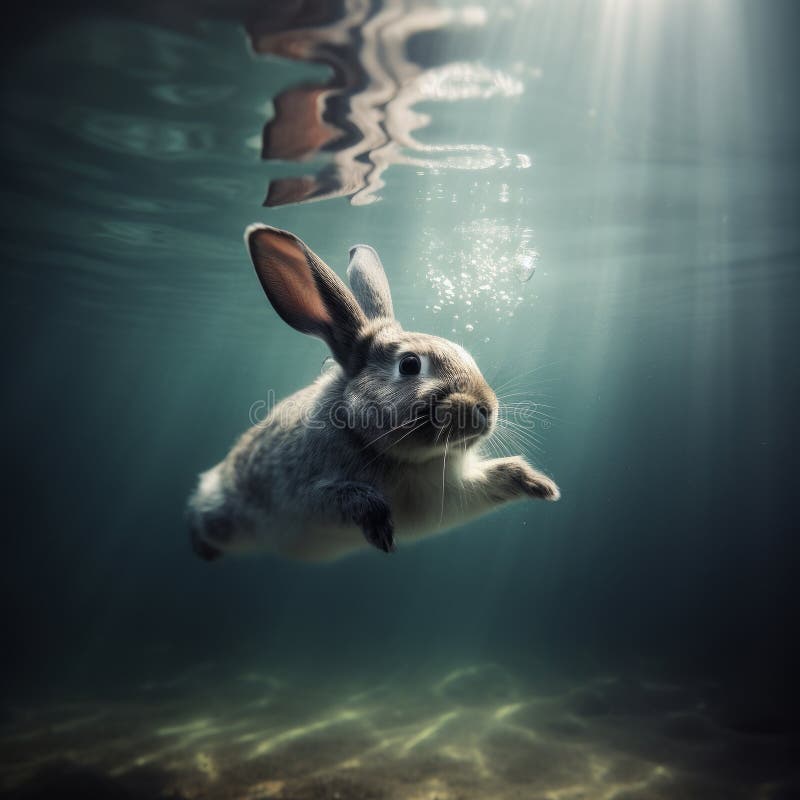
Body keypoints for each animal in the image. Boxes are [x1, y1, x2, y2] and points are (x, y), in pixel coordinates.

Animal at [187, 225, 559, 562]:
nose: (486, 409)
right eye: (410, 365)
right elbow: (349, 498)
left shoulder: (455, 494)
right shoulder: (305, 494)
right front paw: (381, 529)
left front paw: (540, 486)